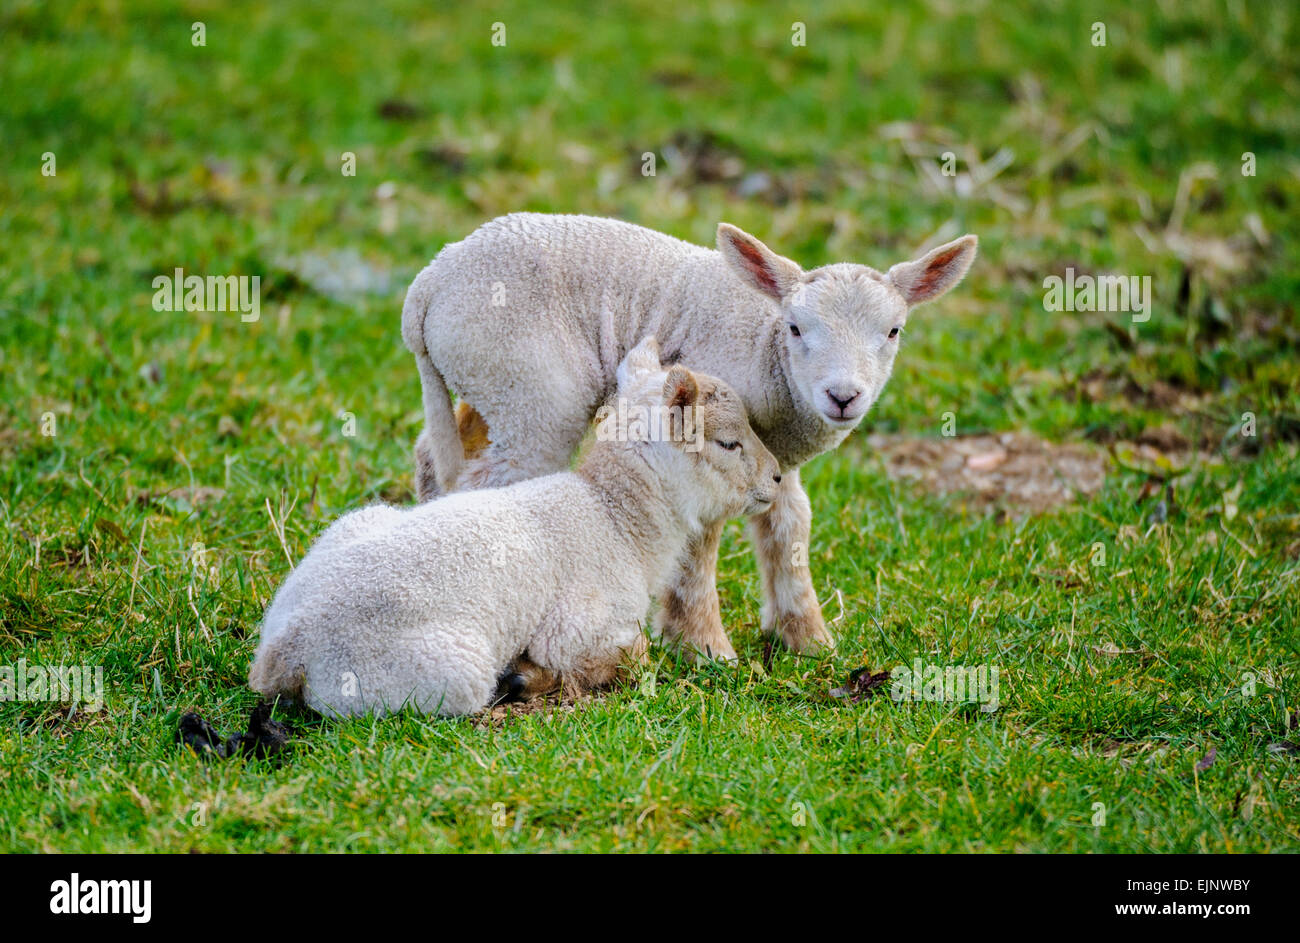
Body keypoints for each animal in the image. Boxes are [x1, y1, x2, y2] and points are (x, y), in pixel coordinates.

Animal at [248, 337, 781, 717]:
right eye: (729, 443)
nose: (777, 476)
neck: (613, 517)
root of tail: (283, 653)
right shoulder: (577, 627)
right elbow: (633, 655)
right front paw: (534, 675)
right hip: (445, 672)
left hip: (357, 523)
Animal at [401, 213, 977, 661]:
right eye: (795, 328)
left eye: (894, 331)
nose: (843, 397)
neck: (765, 350)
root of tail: (427, 285)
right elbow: (701, 543)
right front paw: (703, 646)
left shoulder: (776, 461)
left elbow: (790, 527)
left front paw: (808, 638)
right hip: (530, 390)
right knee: (491, 481)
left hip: (491, 384)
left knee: (436, 453)